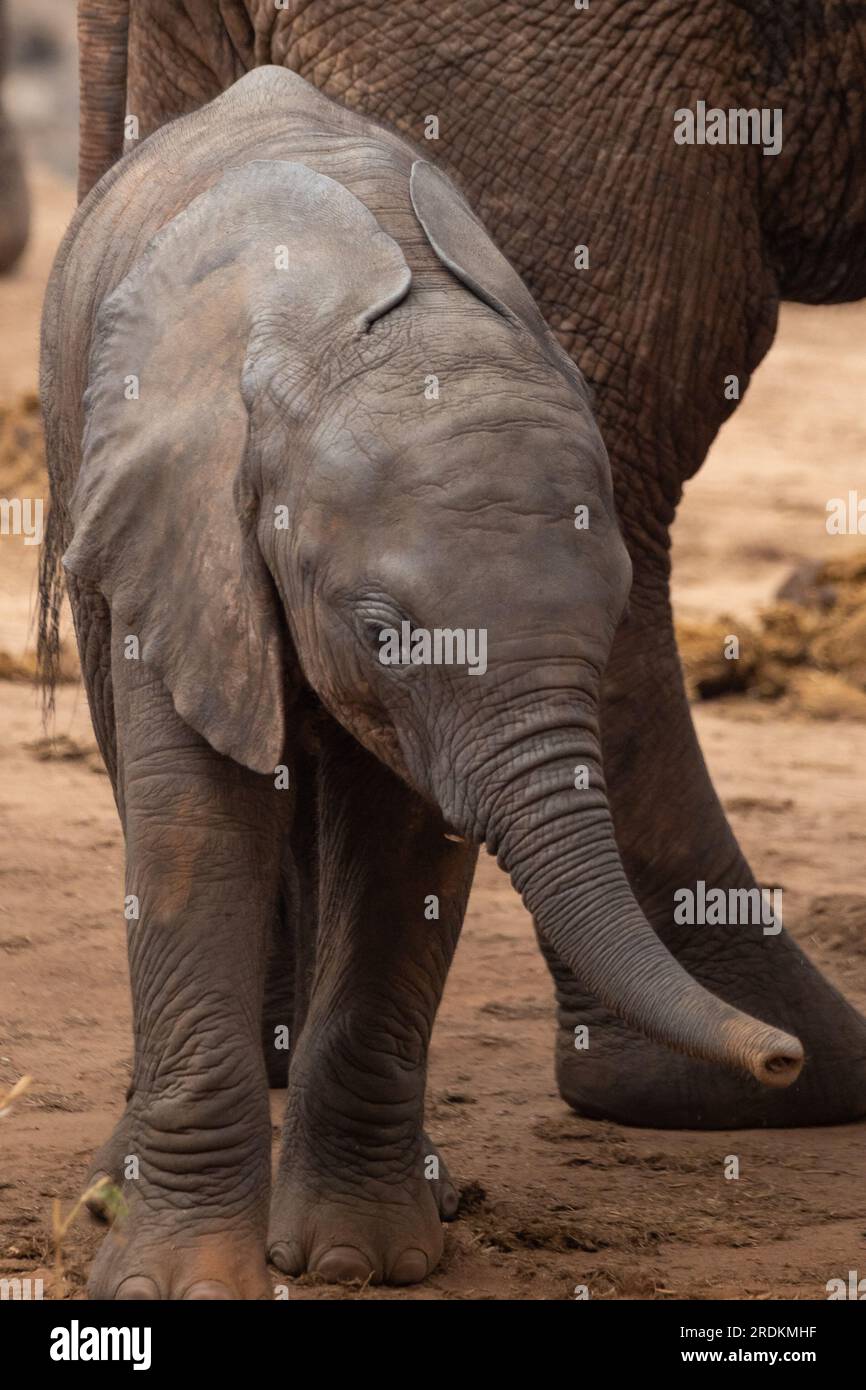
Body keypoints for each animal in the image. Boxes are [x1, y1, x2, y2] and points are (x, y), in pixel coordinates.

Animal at [38, 65, 803, 1296]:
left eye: (607, 620)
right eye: (380, 631)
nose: (781, 1059)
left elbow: (405, 853)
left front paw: (359, 1260)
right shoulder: (185, 524)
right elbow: (195, 834)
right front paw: (175, 1283)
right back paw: (113, 1189)